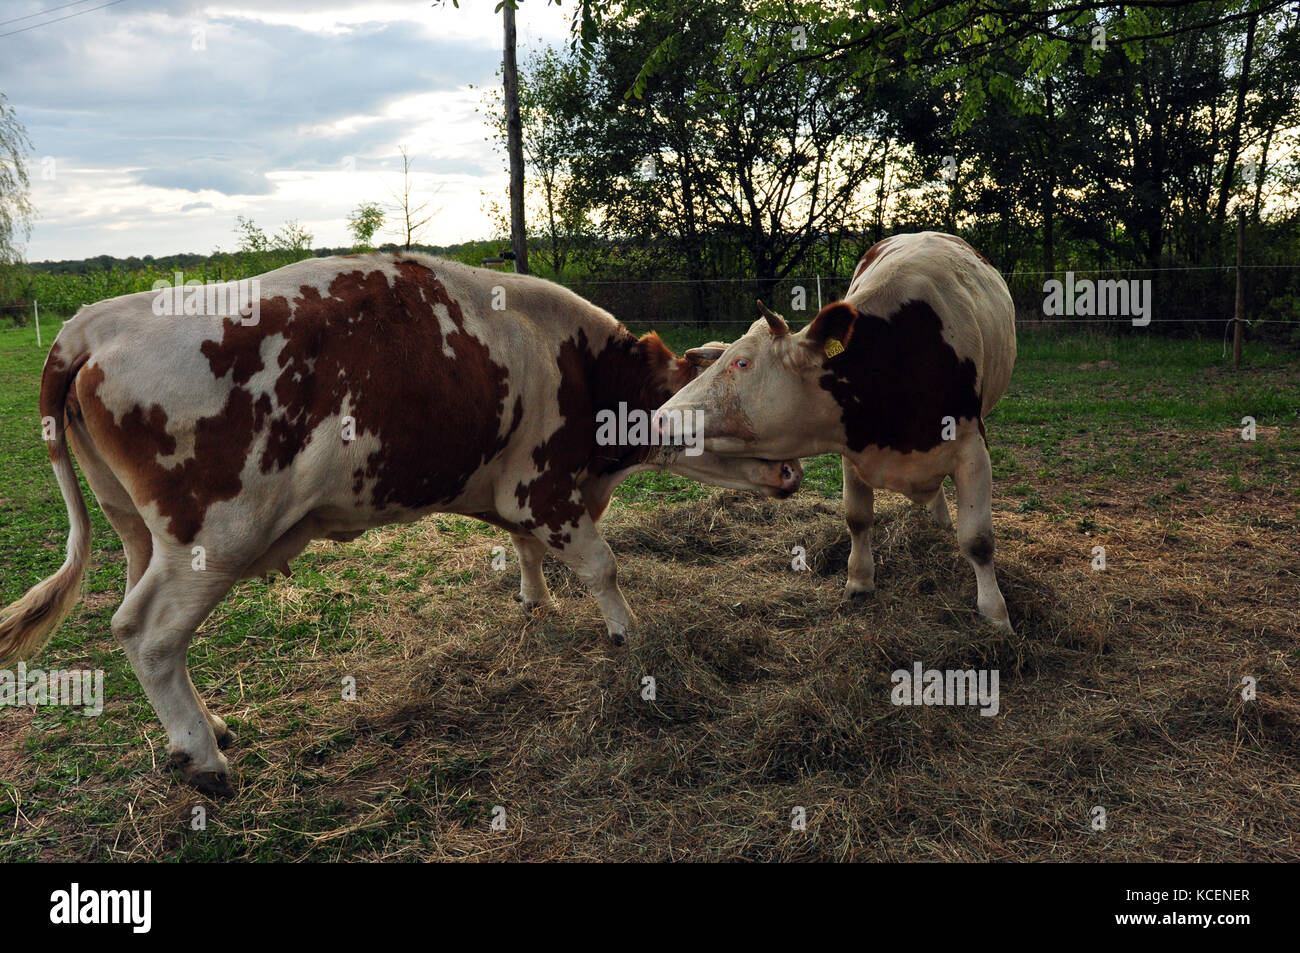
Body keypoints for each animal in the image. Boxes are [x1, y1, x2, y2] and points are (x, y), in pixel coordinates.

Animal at [0, 254, 802, 795]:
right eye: (725, 382)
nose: (792, 471)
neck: (584, 368)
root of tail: (95, 321)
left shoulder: (513, 487)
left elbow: (524, 550)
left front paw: (534, 602)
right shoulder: (546, 486)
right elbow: (602, 566)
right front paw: (629, 636)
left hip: (140, 530)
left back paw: (207, 726)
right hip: (213, 539)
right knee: (146, 632)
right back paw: (205, 756)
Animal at [655, 231, 1017, 632]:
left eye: (742, 362)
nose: (661, 416)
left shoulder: (972, 450)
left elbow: (978, 540)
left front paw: (995, 614)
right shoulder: (852, 451)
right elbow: (857, 519)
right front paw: (859, 582)